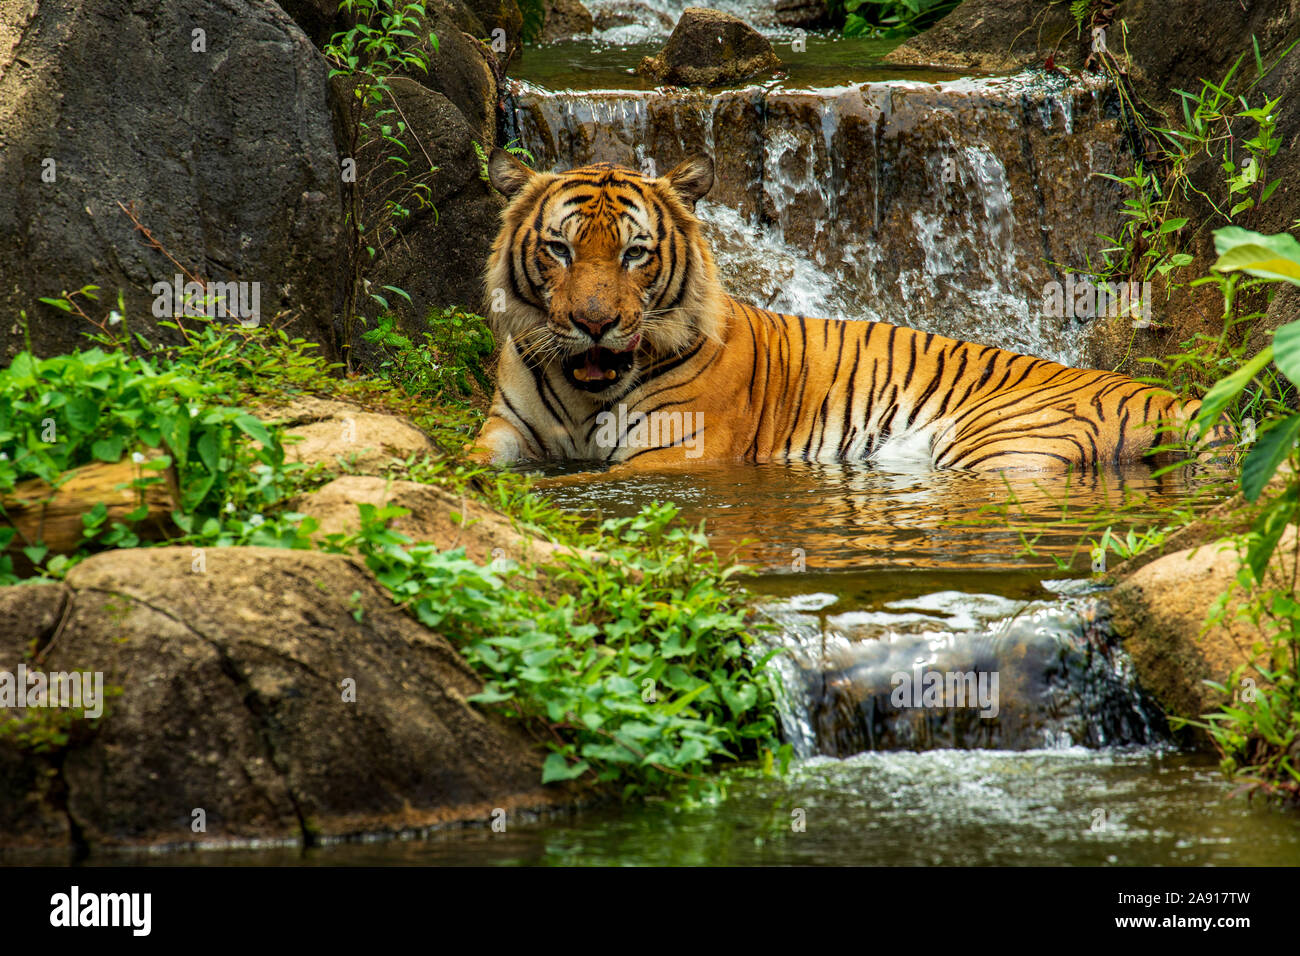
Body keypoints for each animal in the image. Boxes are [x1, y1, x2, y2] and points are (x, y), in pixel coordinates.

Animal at [471, 148, 1219, 472]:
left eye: (634, 254)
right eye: (561, 249)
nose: (594, 324)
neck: (581, 392)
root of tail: (1182, 398)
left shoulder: (679, 449)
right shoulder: (507, 429)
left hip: (1001, 445)